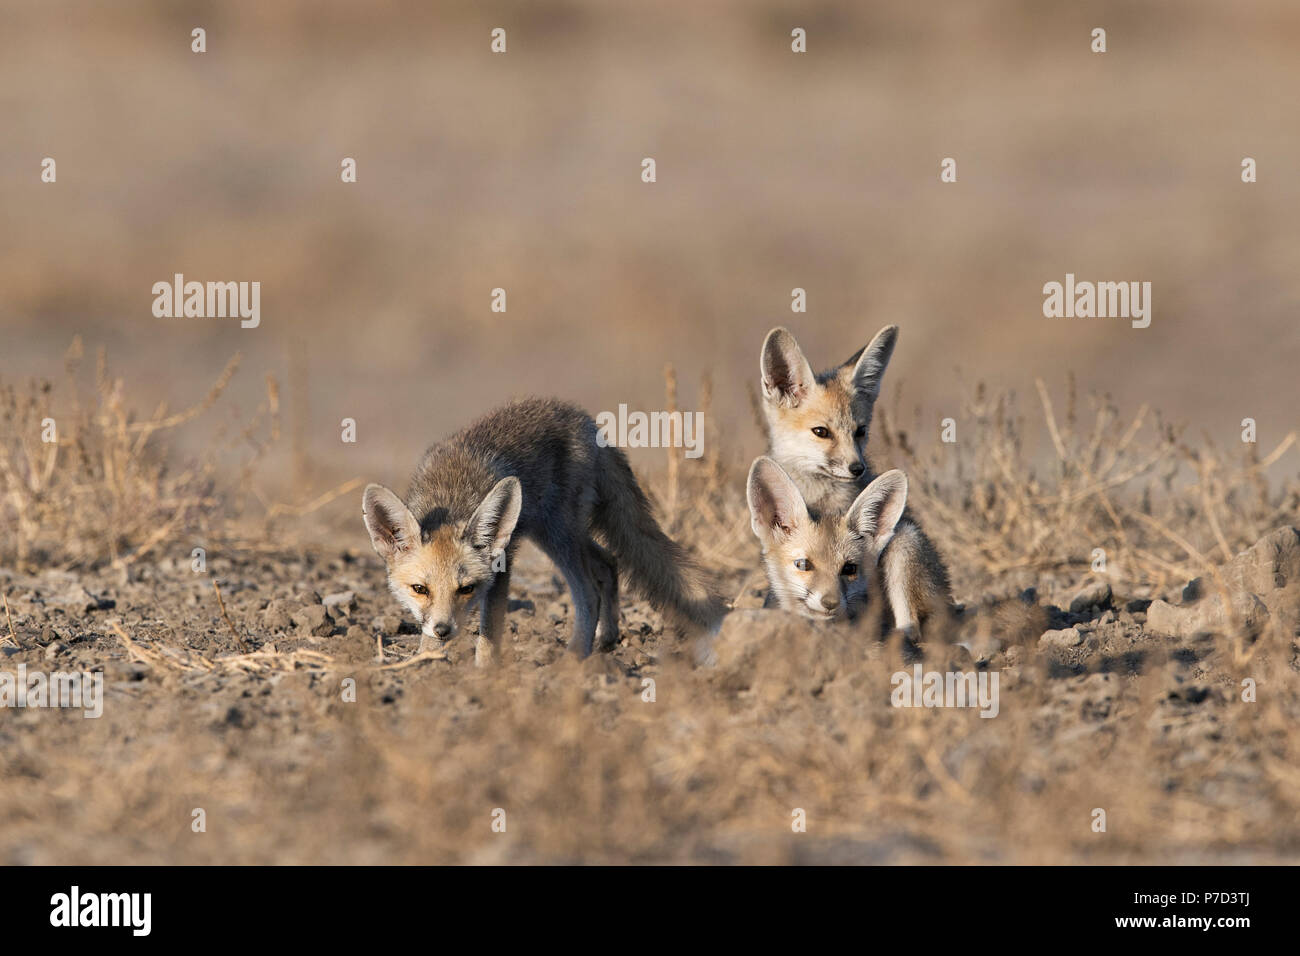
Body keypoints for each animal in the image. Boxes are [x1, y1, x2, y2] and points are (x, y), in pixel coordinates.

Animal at [361, 397, 725, 665]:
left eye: (466, 589)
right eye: (419, 589)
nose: (443, 630)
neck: (450, 499)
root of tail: (588, 423)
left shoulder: (502, 563)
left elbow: (489, 631)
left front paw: (483, 672)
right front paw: (424, 661)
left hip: (557, 534)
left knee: (588, 591)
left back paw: (575, 656)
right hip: (559, 532)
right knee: (608, 562)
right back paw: (607, 638)